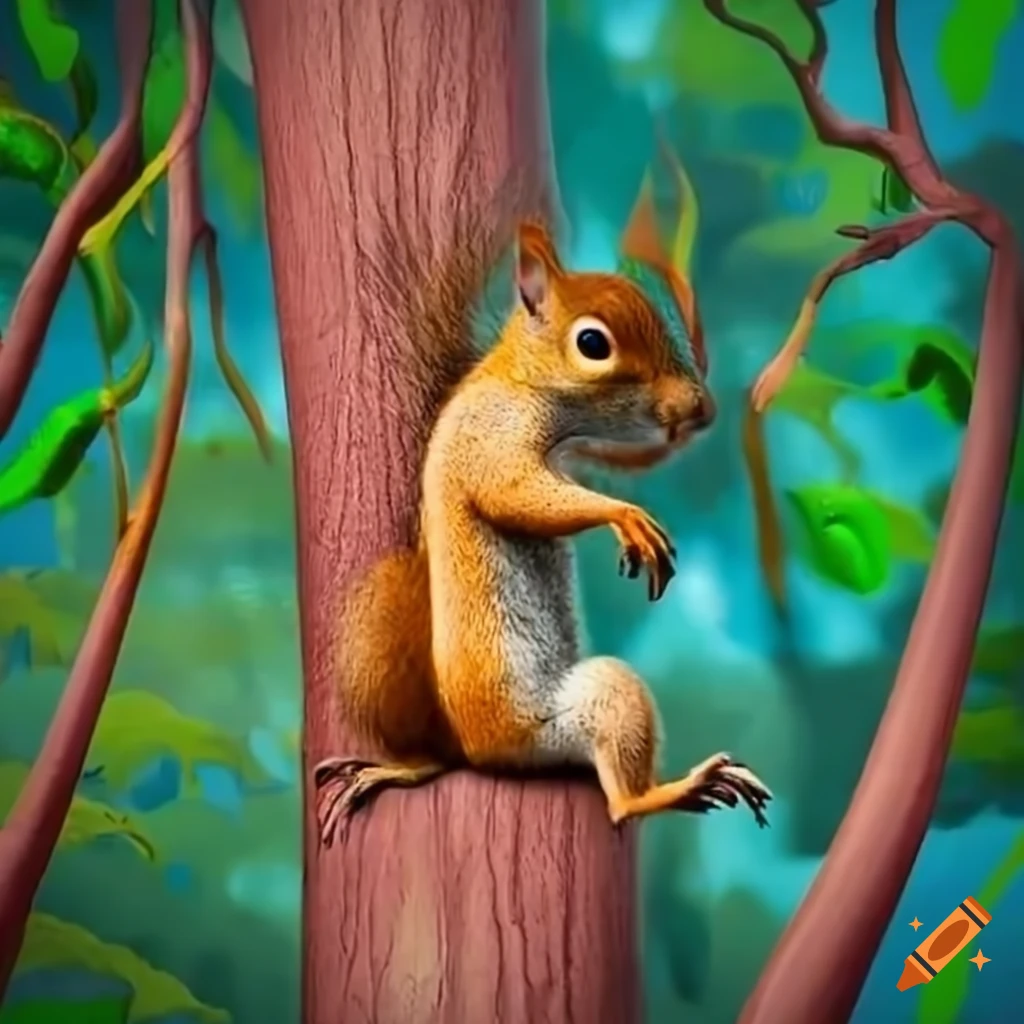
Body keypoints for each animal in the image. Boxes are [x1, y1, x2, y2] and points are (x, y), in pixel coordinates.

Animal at [314, 216, 772, 846]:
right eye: (593, 344)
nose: (699, 409)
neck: (515, 378)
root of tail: (475, 752)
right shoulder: (492, 435)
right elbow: (514, 492)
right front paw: (625, 518)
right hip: (580, 708)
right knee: (622, 803)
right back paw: (674, 788)